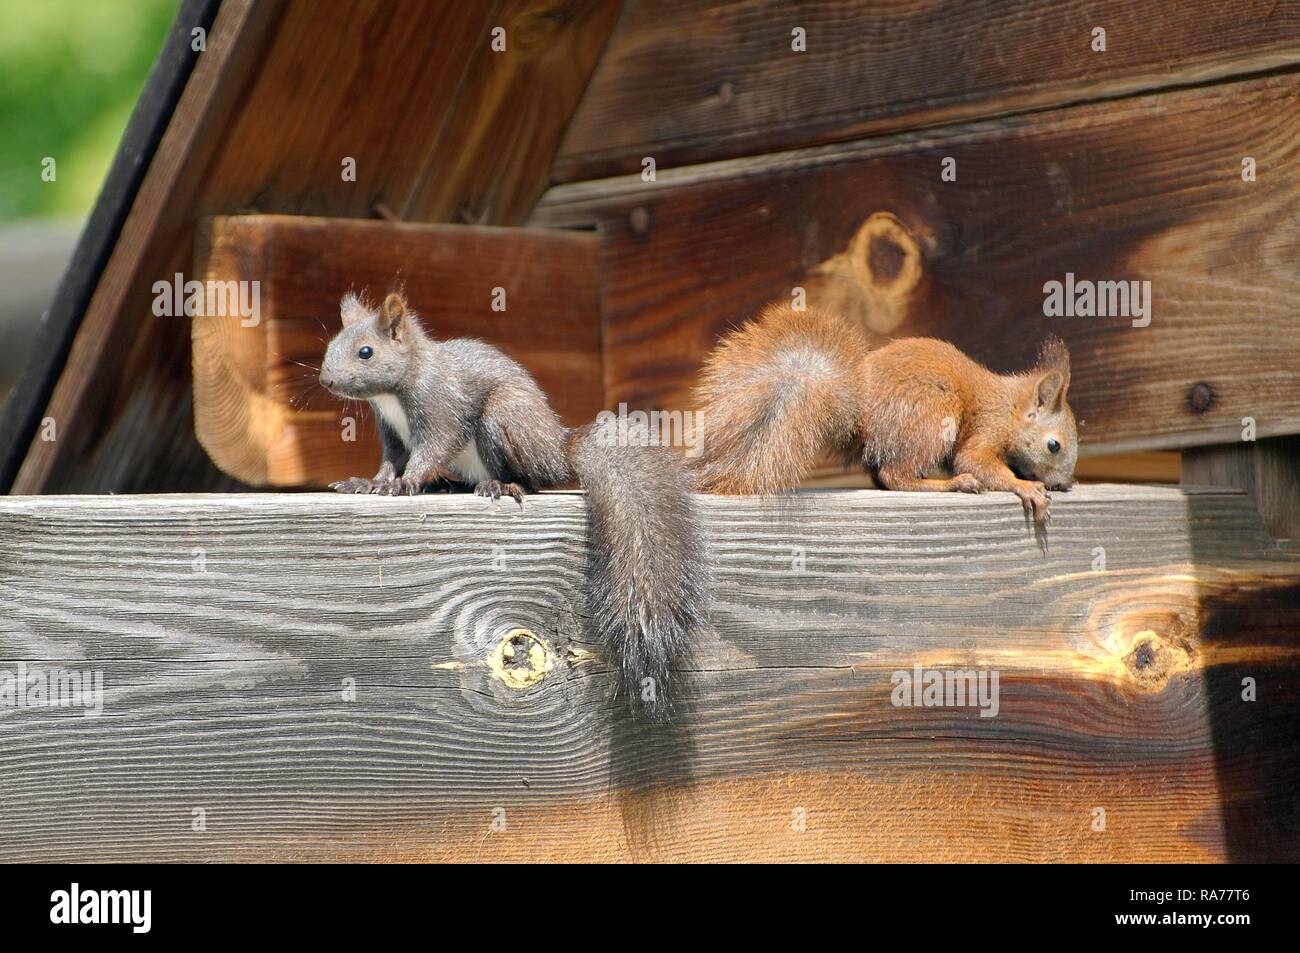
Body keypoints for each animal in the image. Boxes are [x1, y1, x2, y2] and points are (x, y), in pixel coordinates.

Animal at [318, 291, 708, 719]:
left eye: (366, 352)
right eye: (331, 343)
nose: (326, 380)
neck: (395, 391)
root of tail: (558, 449)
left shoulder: (440, 411)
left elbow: (430, 450)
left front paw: (405, 484)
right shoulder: (391, 432)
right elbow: (391, 460)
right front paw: (369, 482)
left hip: (503, 417)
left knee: (534, 479)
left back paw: (501, 485)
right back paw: (452, 485)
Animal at [690, 302, 1078, 524]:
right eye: (1053, 445)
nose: (1064, 484)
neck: (1011, 407)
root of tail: (862, 407)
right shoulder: (988, 428)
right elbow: (975, 460)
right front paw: (1025, 487)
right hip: (932, 415)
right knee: (895, 476)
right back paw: (951, 484)